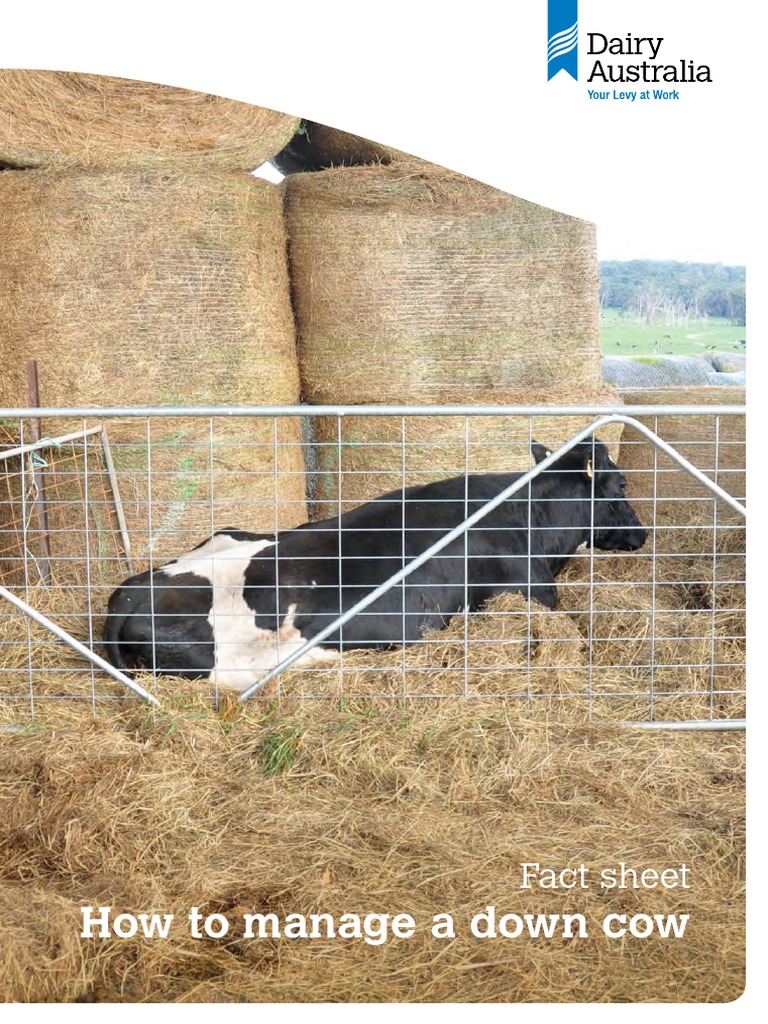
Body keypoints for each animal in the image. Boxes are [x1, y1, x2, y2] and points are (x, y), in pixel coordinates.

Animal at [102, 437, 646, 691]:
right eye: (621, 483)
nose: (642, 533)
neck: (529, 518)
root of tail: (129, 591)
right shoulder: (534, 593)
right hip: (238, 668)